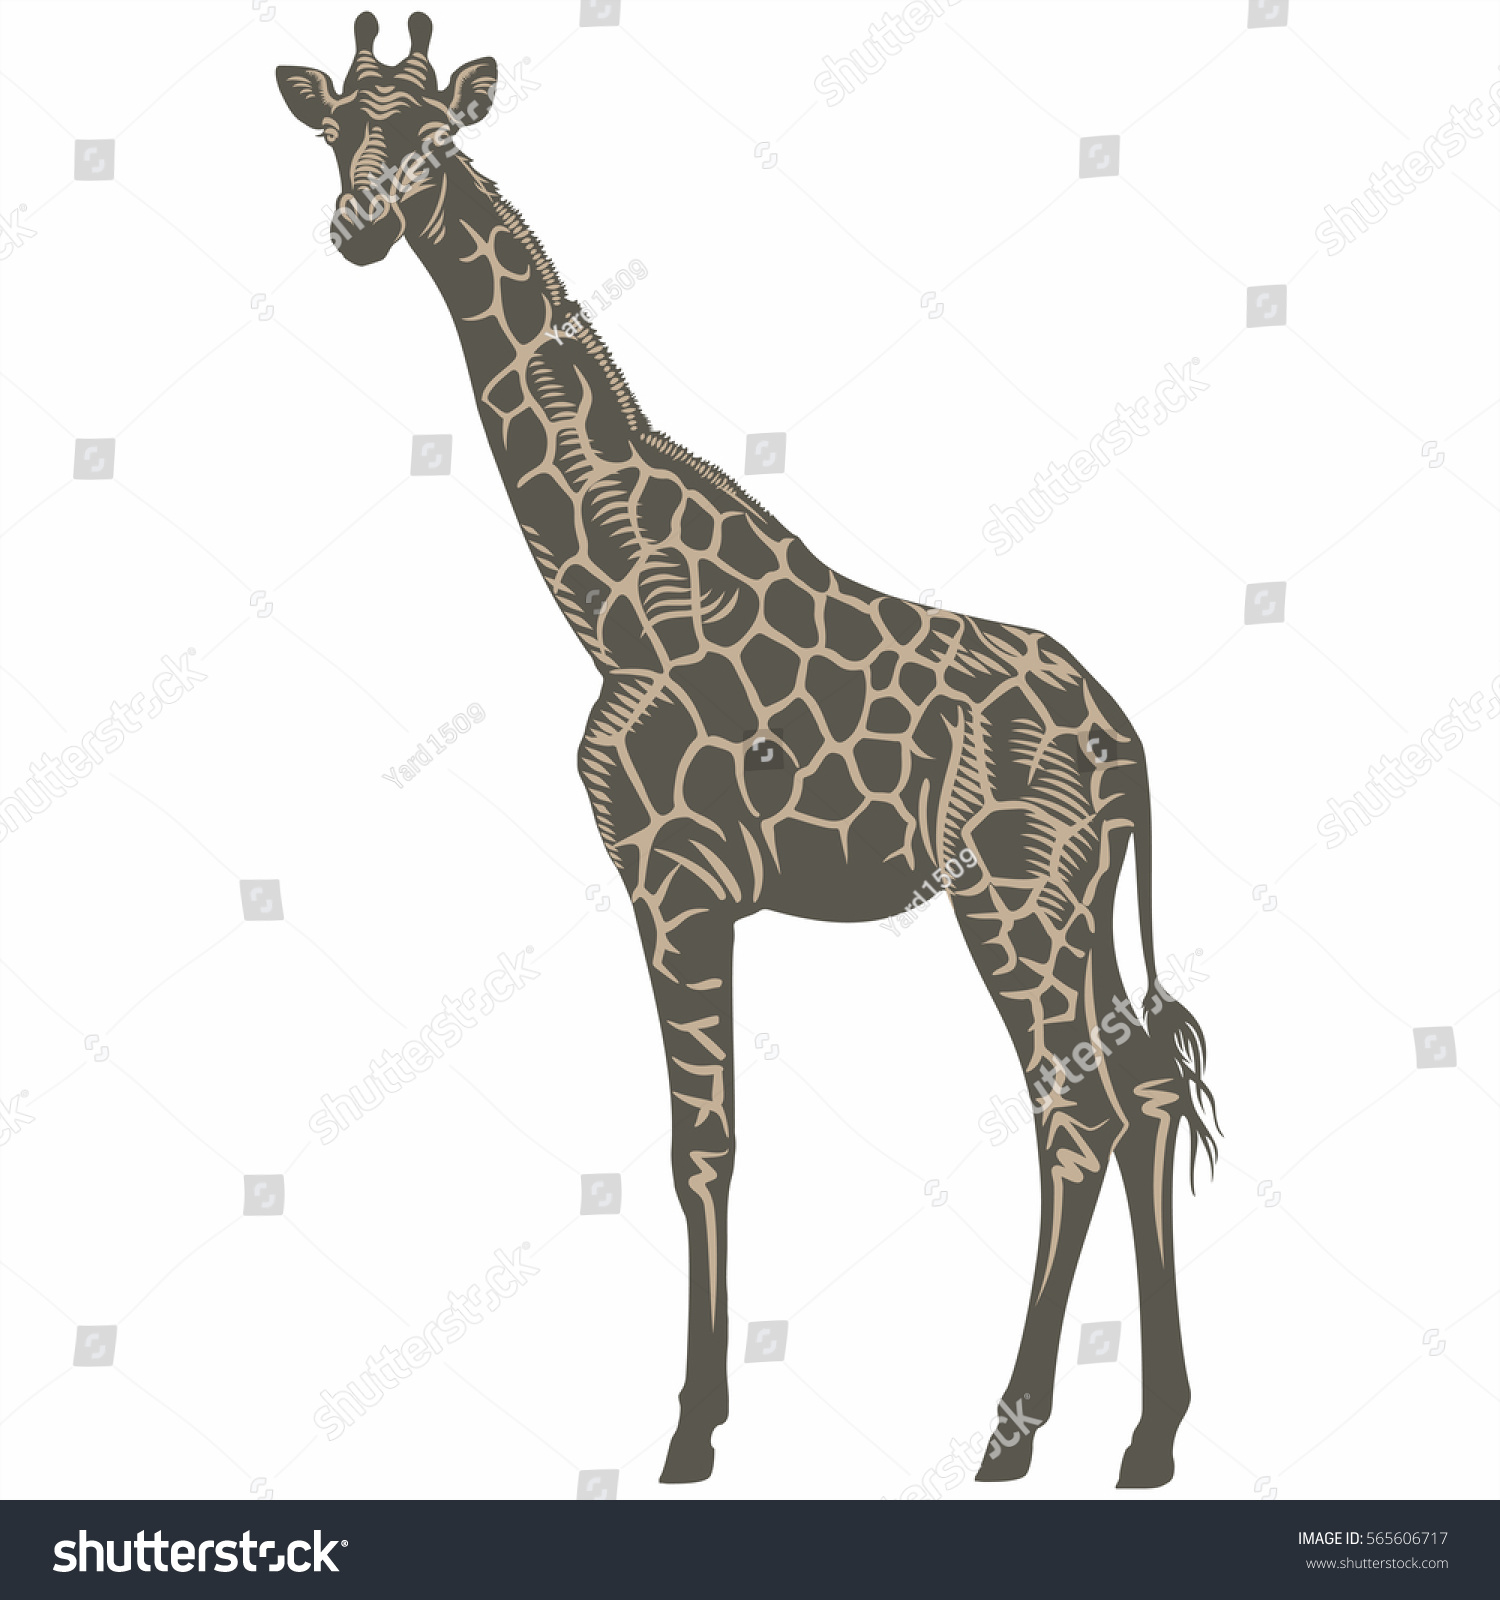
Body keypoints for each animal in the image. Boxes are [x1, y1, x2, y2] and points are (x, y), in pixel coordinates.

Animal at [278, 12, 1221, 1490]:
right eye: (333, 132)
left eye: (432, 133)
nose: (361, 231)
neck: (608, 591)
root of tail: (1125, 745)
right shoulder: (691, 887)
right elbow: (706, 1144)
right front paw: (700, 1416)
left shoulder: (674, 880)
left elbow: (699, 1149)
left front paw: (688, 1431)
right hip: (1077, 904)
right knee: (1145, 1090)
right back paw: (1152, 1437)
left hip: (1017, 896)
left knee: (1080, 1118)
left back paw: (1008, 1436)